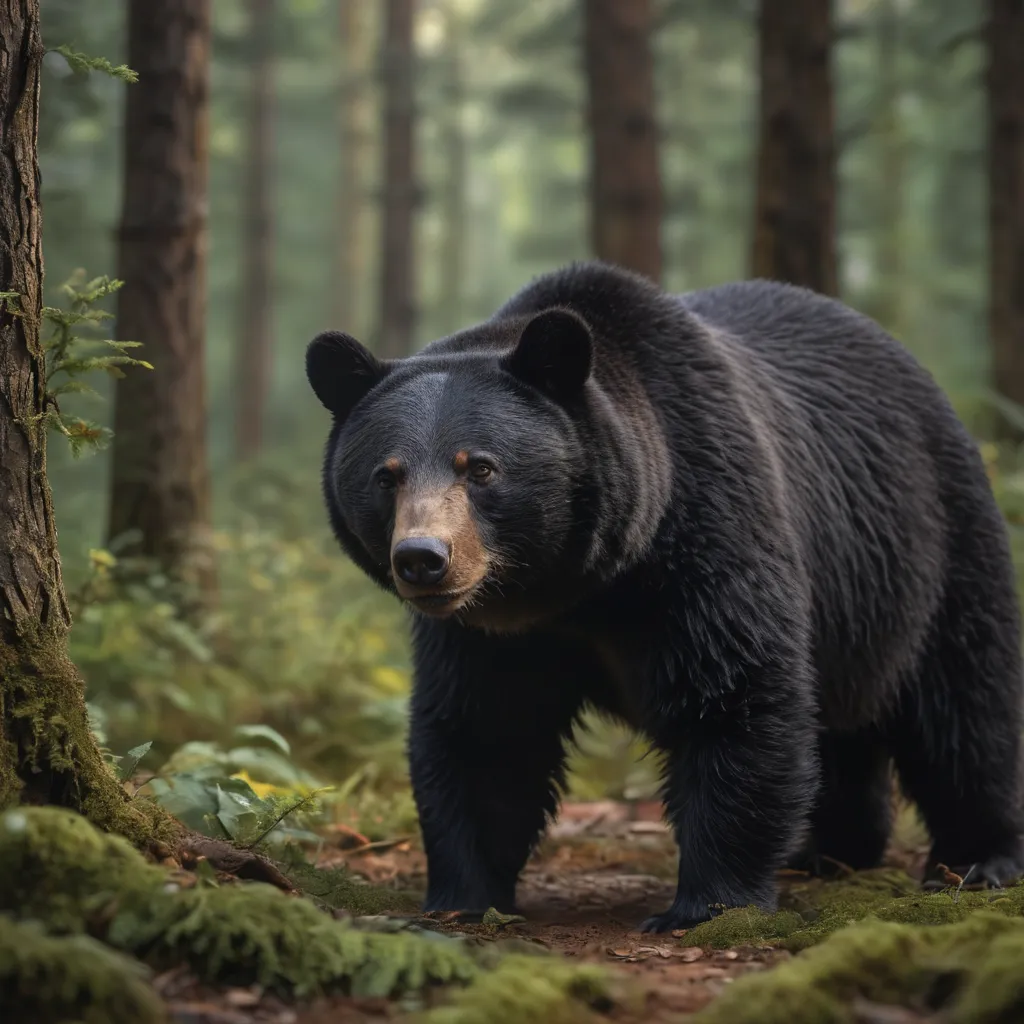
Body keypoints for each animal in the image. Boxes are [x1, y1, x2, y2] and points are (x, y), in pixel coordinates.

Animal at [305, 260, 1024, 933]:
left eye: (480, 467)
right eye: (387, 475)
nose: (423, 559)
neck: (580, 583)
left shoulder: (705, 540)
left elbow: (734, 696)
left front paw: (705, 902)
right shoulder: (492, 634)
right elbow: (486, 731)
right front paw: (461, 896)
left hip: (932, 541)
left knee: (966, 705)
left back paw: (979, 857)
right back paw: (831, 849)